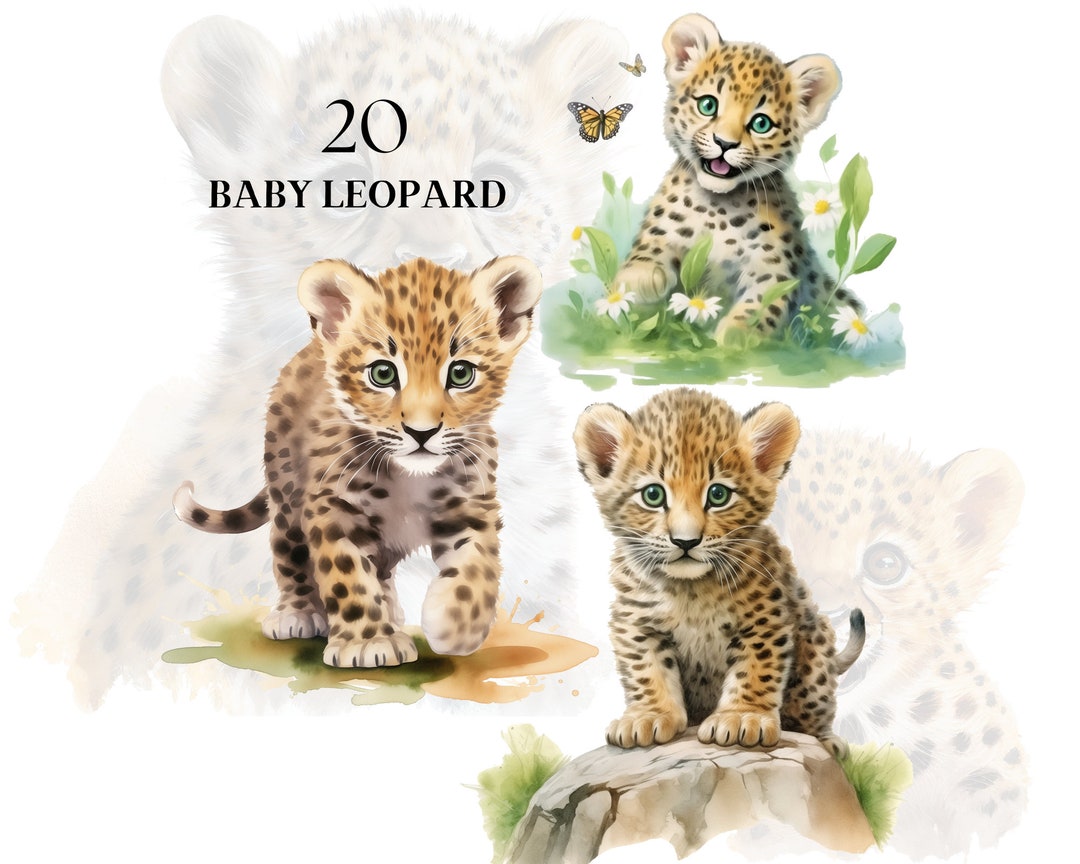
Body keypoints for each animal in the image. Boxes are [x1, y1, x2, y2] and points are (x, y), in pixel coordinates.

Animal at [173, 255, 542, 667]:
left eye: (461, 373)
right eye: (382, 373)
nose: (422, 432)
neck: (409, 476)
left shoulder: (470, 503)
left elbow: (478, 567)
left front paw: (453, 625)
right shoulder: (334, 506)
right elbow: (347, 575)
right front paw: (368, 641)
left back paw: (392, 611)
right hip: (286, 492)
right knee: (288, 551)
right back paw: (297, 614)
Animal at [574, 387, 864, 756]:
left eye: (718, 494)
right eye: (652, 495)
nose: (685, 541)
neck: (690, 590)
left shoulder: (764, 621)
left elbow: (756, 669)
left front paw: (743, 718)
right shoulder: (636, 623)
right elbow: (647, 671)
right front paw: (649, 716)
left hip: (814, 659)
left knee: (814, 708)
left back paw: (829, 742)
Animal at [612, 13, 859, 340]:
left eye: (761, 123)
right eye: (708, 105)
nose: (725, 143)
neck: (717, 208)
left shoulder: (774, 266)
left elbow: (764, 303)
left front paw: (736, 335)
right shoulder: (662, 233)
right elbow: (648, 250)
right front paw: (639, 279)